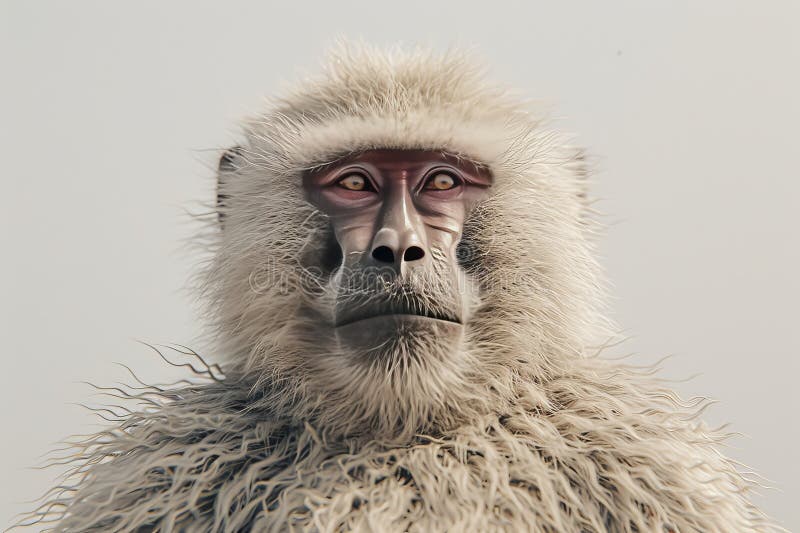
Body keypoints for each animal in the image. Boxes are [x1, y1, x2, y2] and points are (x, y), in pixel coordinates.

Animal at [19, 43, 779, 532]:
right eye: (355, 183)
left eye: (441, 181)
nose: (398, 248)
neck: (405, 429)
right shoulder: (155, 475)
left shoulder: (657, 469)